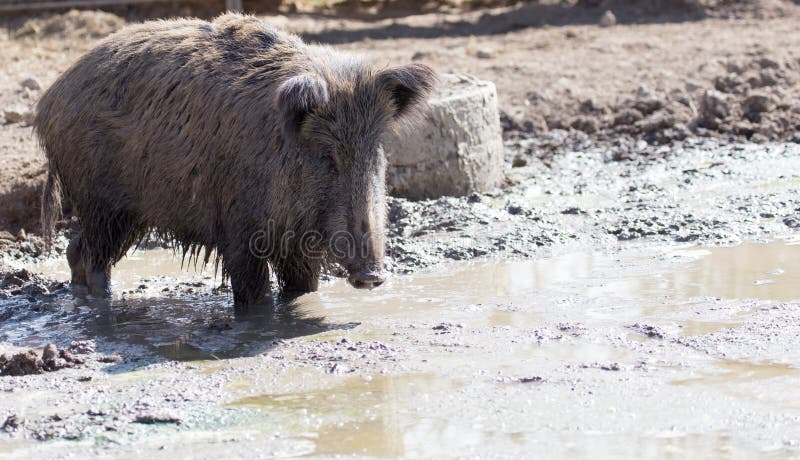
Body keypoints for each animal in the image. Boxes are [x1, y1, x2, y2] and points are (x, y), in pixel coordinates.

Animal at [36, 13, 436, 305]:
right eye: (327, 155)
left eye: (375, 150)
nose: (372, 276)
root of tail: (49, 100)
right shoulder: (238, 229)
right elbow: (251, 292)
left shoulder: (296, 247)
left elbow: (304, 288)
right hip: (103, 202)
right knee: (92, 255)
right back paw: (102, 302)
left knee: (75, 249)